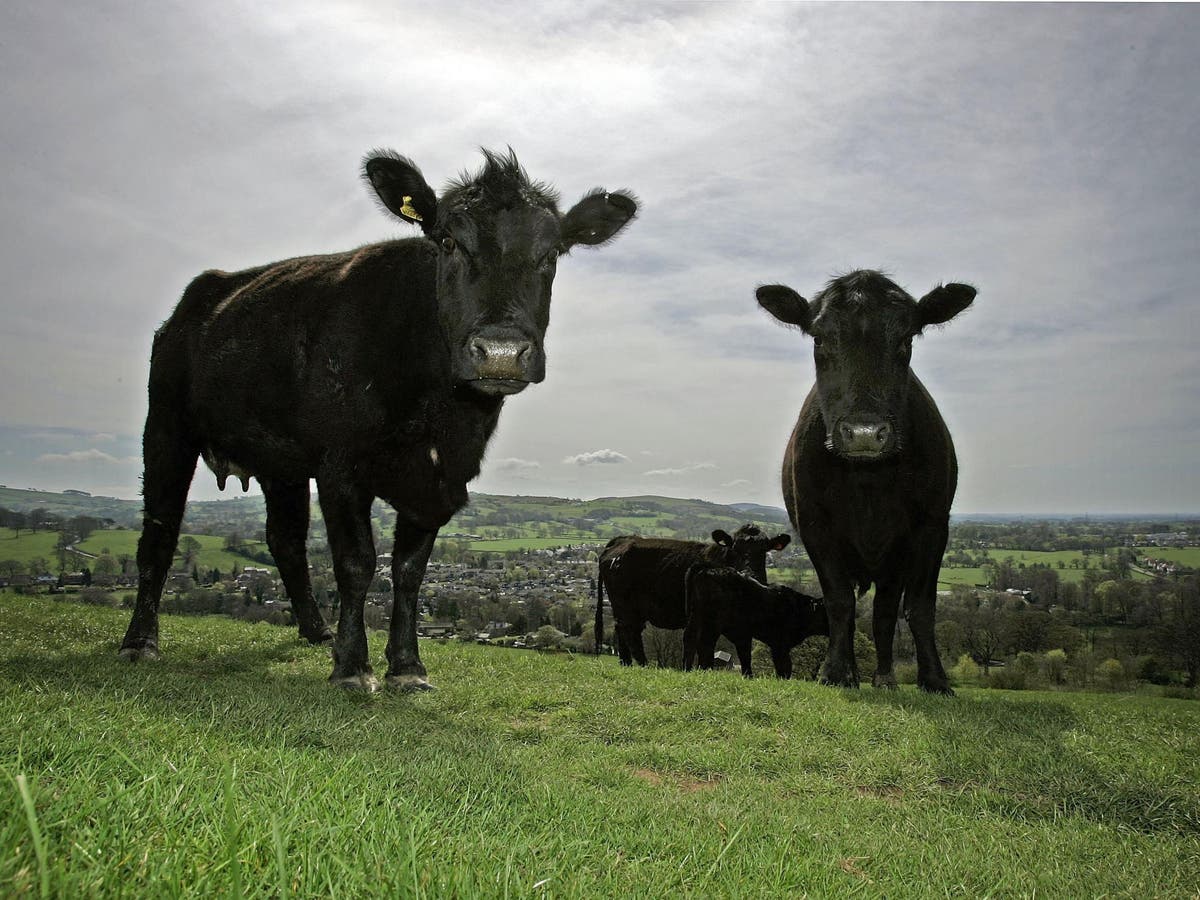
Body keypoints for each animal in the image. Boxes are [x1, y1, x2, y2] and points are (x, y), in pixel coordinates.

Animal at [118, 148, 638, 691]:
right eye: (448, 241)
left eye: (552, 252)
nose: (500, 351)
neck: (439, 416)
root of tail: (203, 292)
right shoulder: (342, 464)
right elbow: (357, 563)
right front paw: (352, 666)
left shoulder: (439, 479)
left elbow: (408, 570)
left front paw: (406, 666)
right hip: (167, 426)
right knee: (158, 534)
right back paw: (140, 641)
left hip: (282, 461)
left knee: (285, 539)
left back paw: (315, 630)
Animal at [595, 524, 791, 666]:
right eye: (734, 549)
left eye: (764, 549)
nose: (749, 573)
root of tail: (624, 540)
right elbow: (705, 647)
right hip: (625, 606)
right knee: (630, 632)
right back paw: (642, 665)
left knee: (622, 631)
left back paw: (626, 663)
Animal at [682, 565, 828, 677]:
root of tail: (706, 569)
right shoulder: (779, 643)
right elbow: (784, 665)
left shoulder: (744, 634)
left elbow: (746, 655)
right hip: (713, 621)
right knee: (705, 643)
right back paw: (705, 670)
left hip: (696, 616)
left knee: (691, 638)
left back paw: (689, 668)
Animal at [756, 270, 975, 694]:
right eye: (819, 338)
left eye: (906, 339)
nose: (863, 433)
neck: (868, 482)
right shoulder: (815, 525)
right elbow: (840, 602)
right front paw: (836, 673)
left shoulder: (931, 526)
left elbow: (919, 608)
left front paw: (934, 678)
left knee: (884, 614)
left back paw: (885, 677)